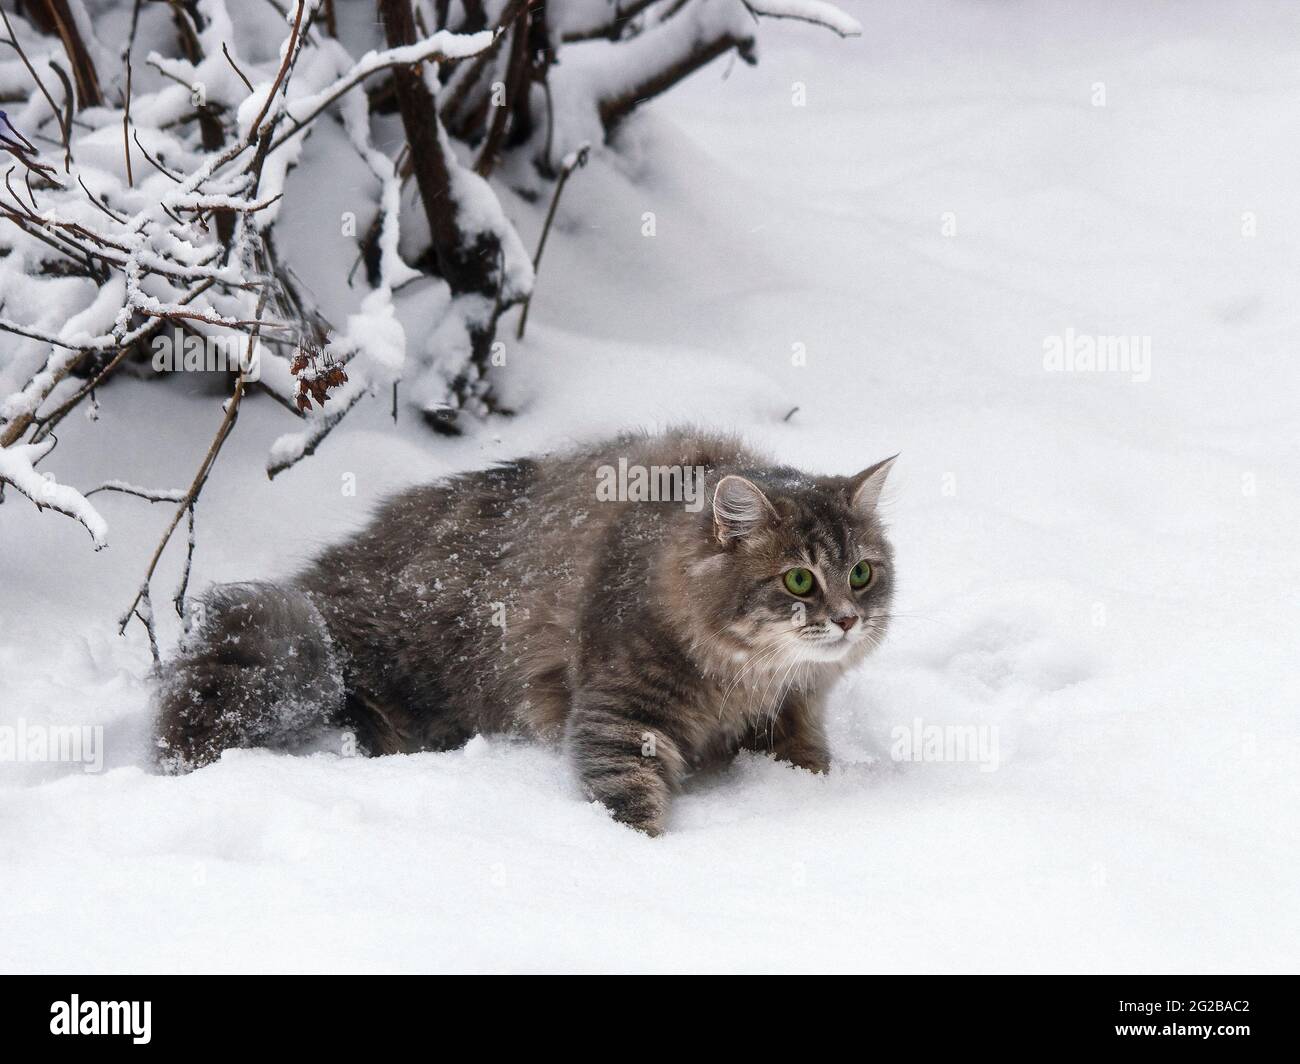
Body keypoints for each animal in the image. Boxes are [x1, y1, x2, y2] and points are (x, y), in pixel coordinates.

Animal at [154, 426, 894, 832]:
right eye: (798, 581)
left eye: (861, 573)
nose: (848, 619)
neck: (746, 678)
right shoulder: (621, 712)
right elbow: (628, 798)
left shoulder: (793, 713)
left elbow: (809, 759)